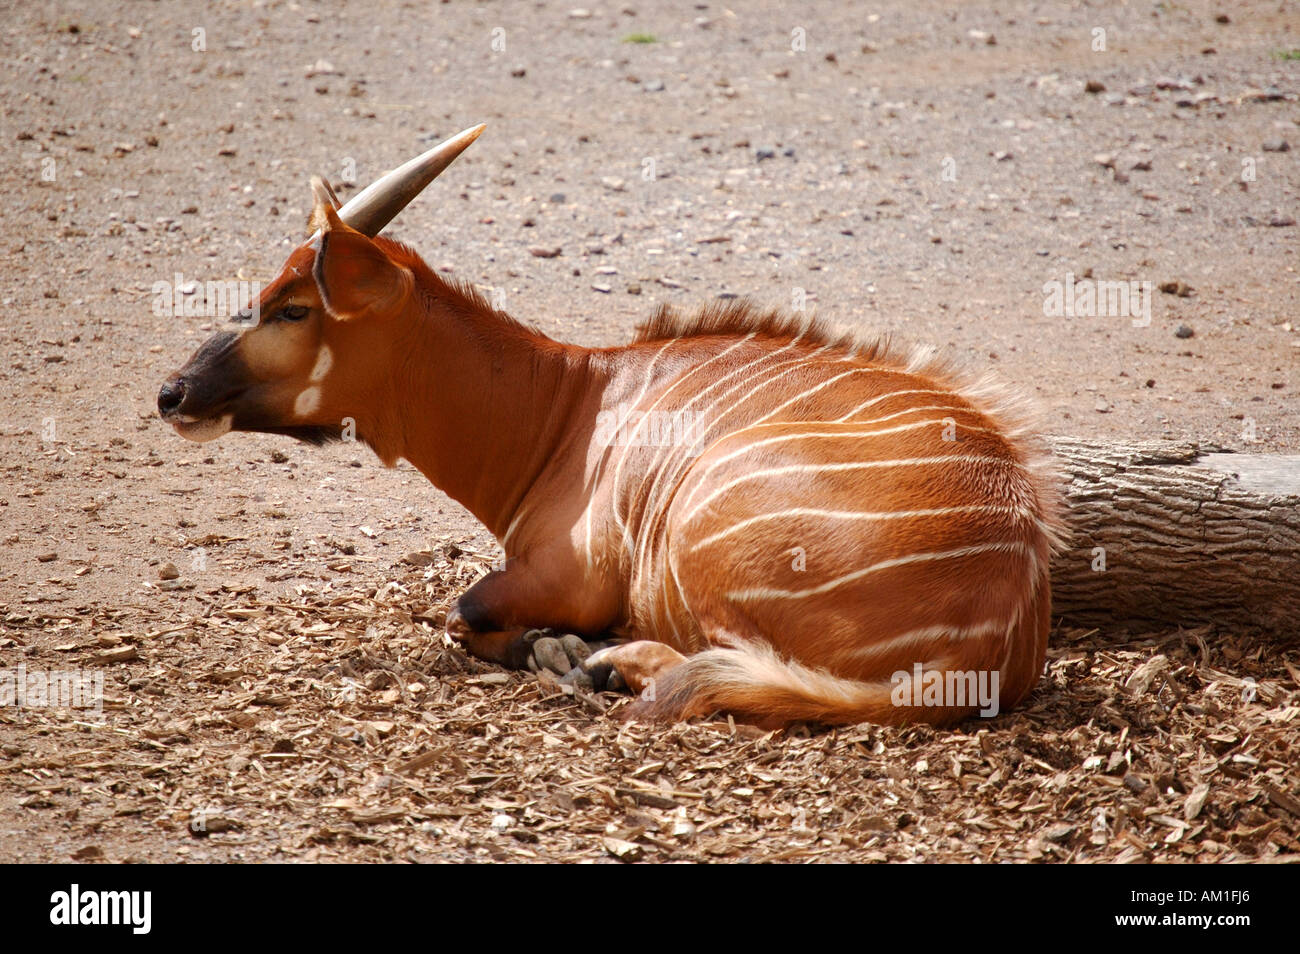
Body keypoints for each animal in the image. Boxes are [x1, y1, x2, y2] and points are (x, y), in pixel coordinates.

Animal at [158, 125, 1065, 728]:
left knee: (710, 670)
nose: (173, 391)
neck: (571, 402)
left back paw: (612, 665)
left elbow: (462, 610)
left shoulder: (572, 575)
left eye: (293, 305)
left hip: (704, 538)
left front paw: (559, 654)